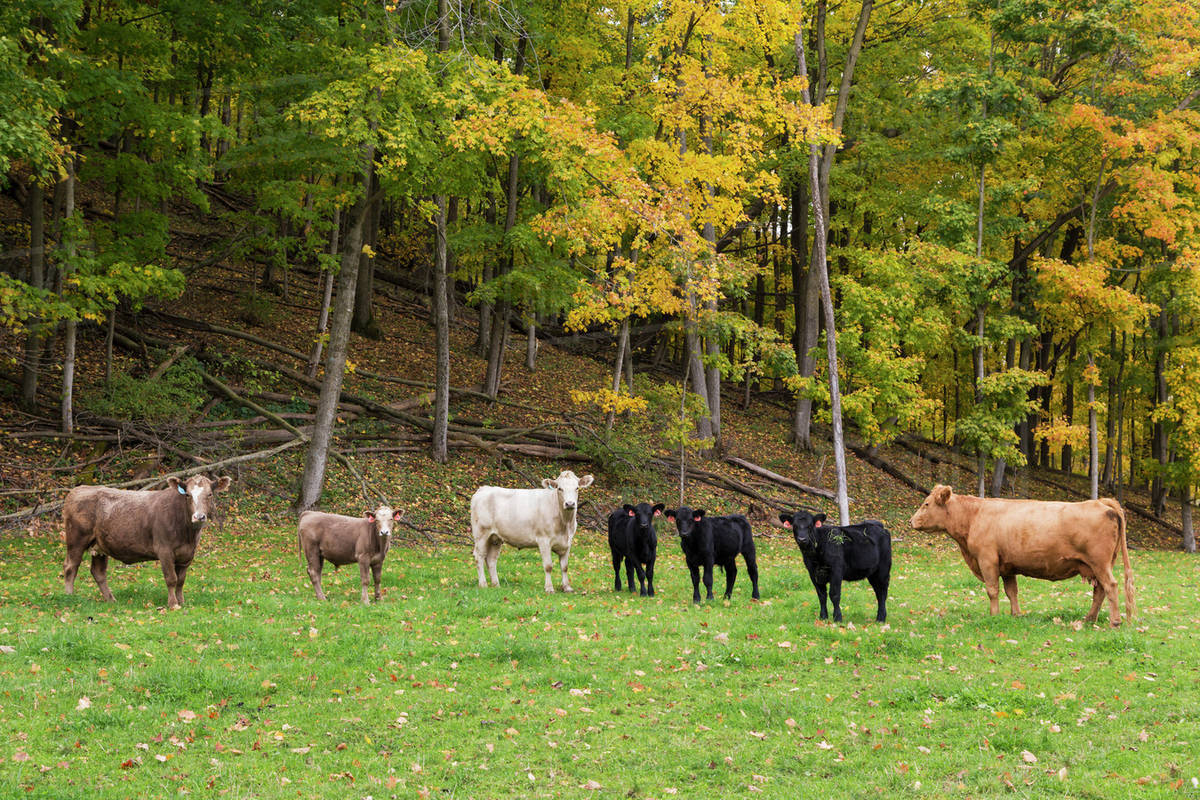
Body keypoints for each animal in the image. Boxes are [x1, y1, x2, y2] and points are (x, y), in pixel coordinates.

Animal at [62, 474, 232, 609]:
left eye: (210, 494)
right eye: (188, 495)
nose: (199, 516)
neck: (188, 535)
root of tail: (78, 489)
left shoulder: (187, 554)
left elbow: (181, 580)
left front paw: (182, 601)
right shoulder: (164, 550)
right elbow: (171, 579)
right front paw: (173, 604)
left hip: (100, 546)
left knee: (98, 572)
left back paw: (111, 600)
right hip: (76, 539)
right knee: (71, 566)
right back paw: (70, 596)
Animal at [910, 484, 1135, 626]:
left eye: (926, 504)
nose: (911, 521)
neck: (974, 516)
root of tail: (1101, 502)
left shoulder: (987, 559)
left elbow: (992, 590)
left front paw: (994, 615)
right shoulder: (1007, 565)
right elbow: (1012, 591)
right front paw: (1016, 615)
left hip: (1100, 563)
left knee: (1111, 586)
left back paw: (1115, 621)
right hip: (1100, 565)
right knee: (1100, 591)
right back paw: (1089, 619)